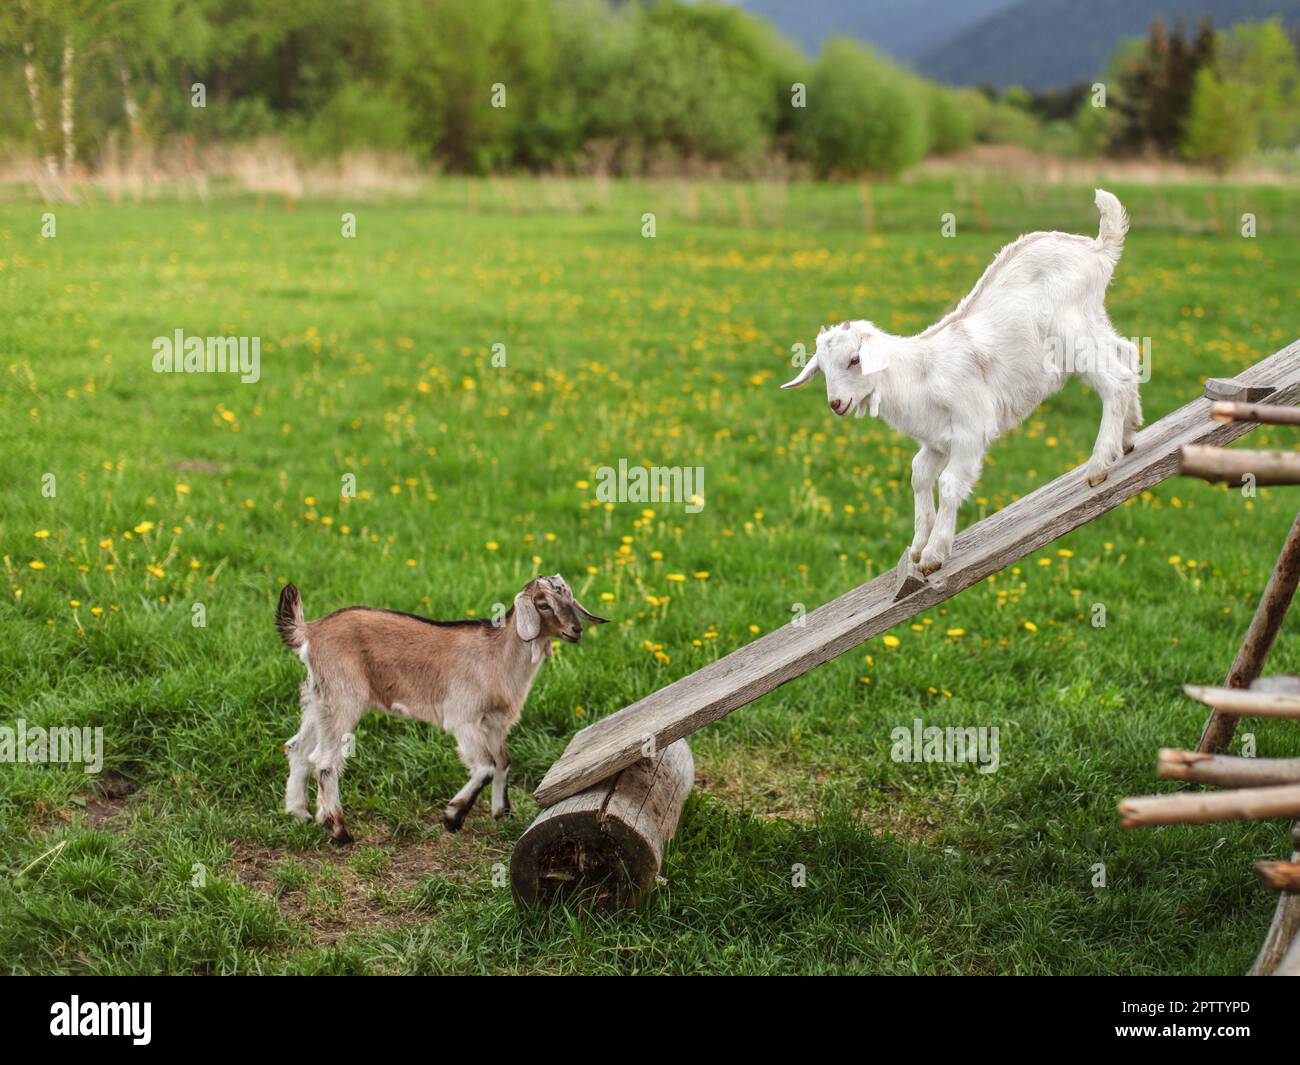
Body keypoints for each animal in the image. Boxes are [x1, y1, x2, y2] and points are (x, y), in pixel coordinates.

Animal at [275, 574, 608, 843]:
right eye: (542, 604)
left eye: (569, 596)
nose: (576, 630)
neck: (498, 655)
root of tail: (311, 631)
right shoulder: (463, 719)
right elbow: (486, 766)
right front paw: (453, 817)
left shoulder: (495, 723)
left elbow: (503, 761)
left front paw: (502, 814)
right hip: (344, 699)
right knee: (325, 761)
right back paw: (338, 830)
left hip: (318, 699)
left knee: (297, 748)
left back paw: (299, 814)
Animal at [781, 189, 1142, 576]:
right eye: (821, 369)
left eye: (854, 359)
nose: (836, 404)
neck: (919, 373)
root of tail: (1098, 250)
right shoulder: (937, 439)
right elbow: (918, 474)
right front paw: (917, 547)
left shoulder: (971, 428)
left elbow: (951, 484)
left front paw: (934, 555)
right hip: (1093, 322)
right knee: (1129, 353)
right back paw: (1129, 432)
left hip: (1072, 336)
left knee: (1116, 381)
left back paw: (1099, 464)